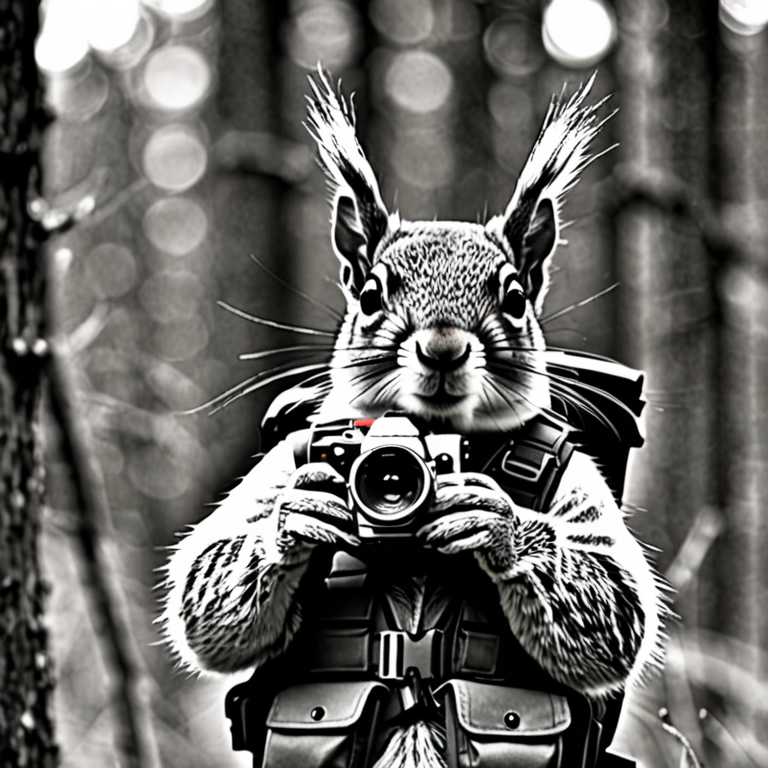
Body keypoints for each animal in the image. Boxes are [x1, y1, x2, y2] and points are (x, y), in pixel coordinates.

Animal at [160, 71, 668, 768]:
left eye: (515, 296)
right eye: (370, 294)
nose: (443, 348)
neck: (424, 433)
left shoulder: (577, 480)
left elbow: (618, 601)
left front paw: (497, 523)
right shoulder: (281, 461)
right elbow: (205, 590)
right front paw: (296, 521)